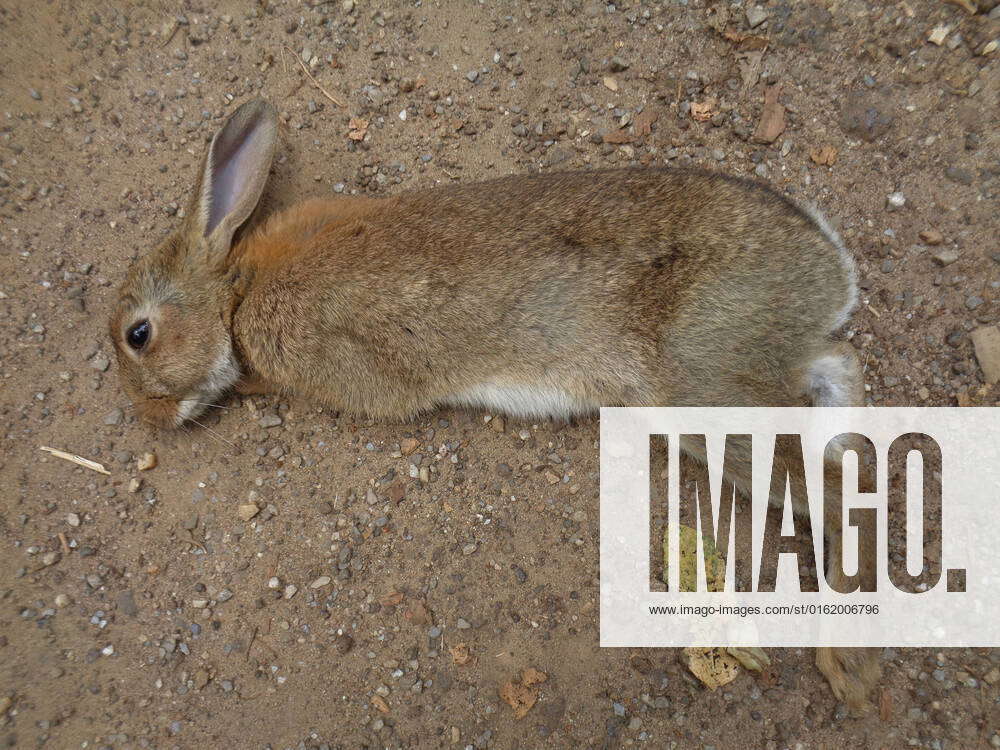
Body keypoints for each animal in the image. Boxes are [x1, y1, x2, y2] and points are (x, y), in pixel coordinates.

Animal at [110, 98, 879, 709]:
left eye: (137, 335)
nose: (148, 419)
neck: (236, 292)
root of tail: (826, 264)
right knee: (842, 386)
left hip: (700, 388)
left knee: (840, 489)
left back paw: (847, 661)